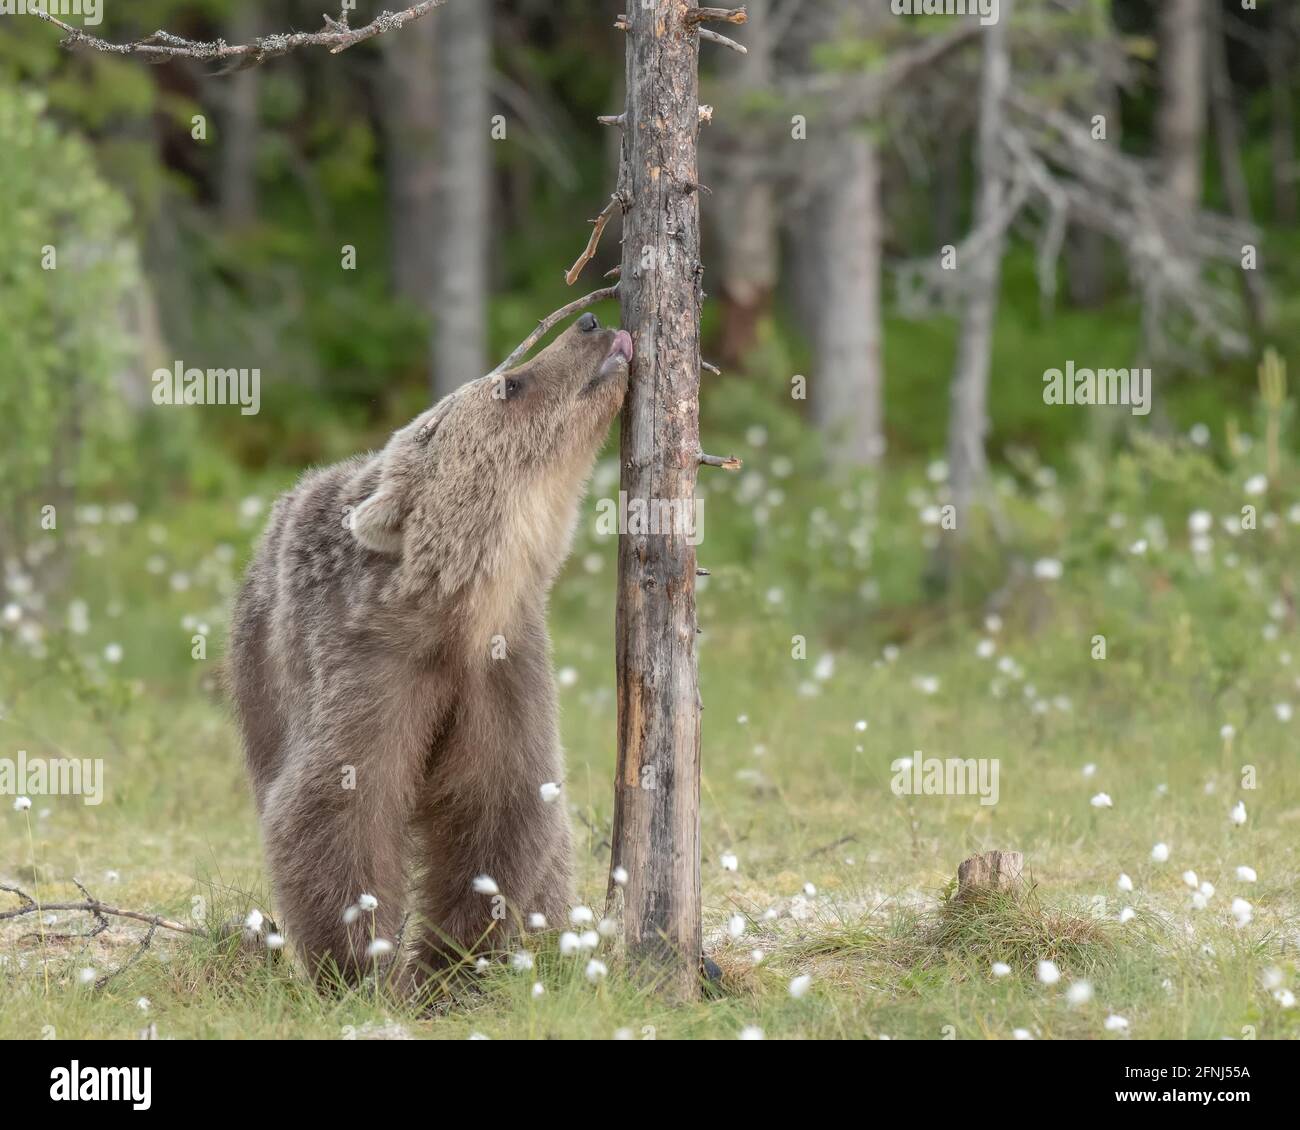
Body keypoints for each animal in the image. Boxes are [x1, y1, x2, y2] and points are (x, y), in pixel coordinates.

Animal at [227, 312, 632, 988]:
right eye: (508, 385)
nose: (591, 321)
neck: (456, 615)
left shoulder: (503, 669)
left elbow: (502, 808)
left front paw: (456, 964)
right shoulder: (369, 668)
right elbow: (334, 807)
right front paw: (365, 969)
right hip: (260, 682)